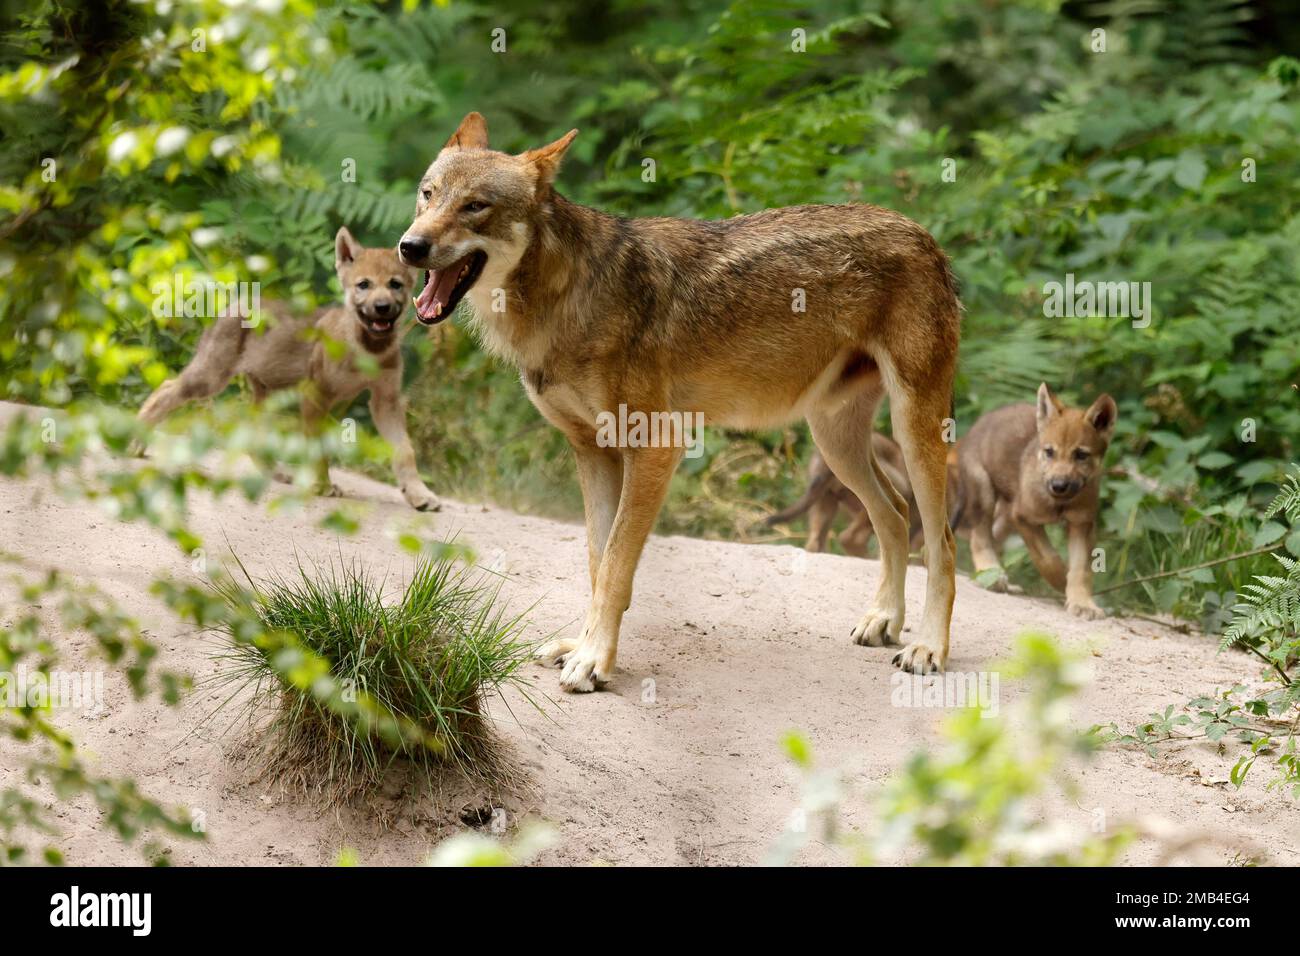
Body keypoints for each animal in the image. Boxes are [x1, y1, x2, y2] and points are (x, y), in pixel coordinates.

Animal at [136, 228, 440, 512]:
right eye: (364, 284)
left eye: (395, 284)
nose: (382, 307)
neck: (369, 349)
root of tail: (234, 303)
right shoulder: (317, 395)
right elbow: (318, 448)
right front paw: (323, 486)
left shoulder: (385, 400)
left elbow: (405, 451)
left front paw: (420, 495)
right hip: (211, 378)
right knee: (166, 389)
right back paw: (137, 443)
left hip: (268, 394)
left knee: (250, 433)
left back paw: (278, 472)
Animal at [399, 112, 960, 689]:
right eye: (428, 194)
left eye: (475, 206)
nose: (409, 246)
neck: (561, 296)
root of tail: (922, 234)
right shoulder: (591, 450)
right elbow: (597, 561)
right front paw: (583, 647)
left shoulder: (657, 447)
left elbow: (616, 564)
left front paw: (594, 660)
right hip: (835, 443)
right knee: (895, 513)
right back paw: (883, 621)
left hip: (914, 429)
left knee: (941, 541)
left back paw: (926, 648)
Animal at [955, 383, 1116, 618]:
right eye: (1049, 452)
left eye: (1081, 455)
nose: (1058, 485)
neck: (1059, 503)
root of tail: (977, 425)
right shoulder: (1023, 517)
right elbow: (1048, 558)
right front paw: (1062, 581)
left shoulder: (1082, 523)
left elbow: (1080, 569)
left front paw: (1082, 602)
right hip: (984, 494)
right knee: (980, 539)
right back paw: (992, 574)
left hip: (1006, 515)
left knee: (993, 538)